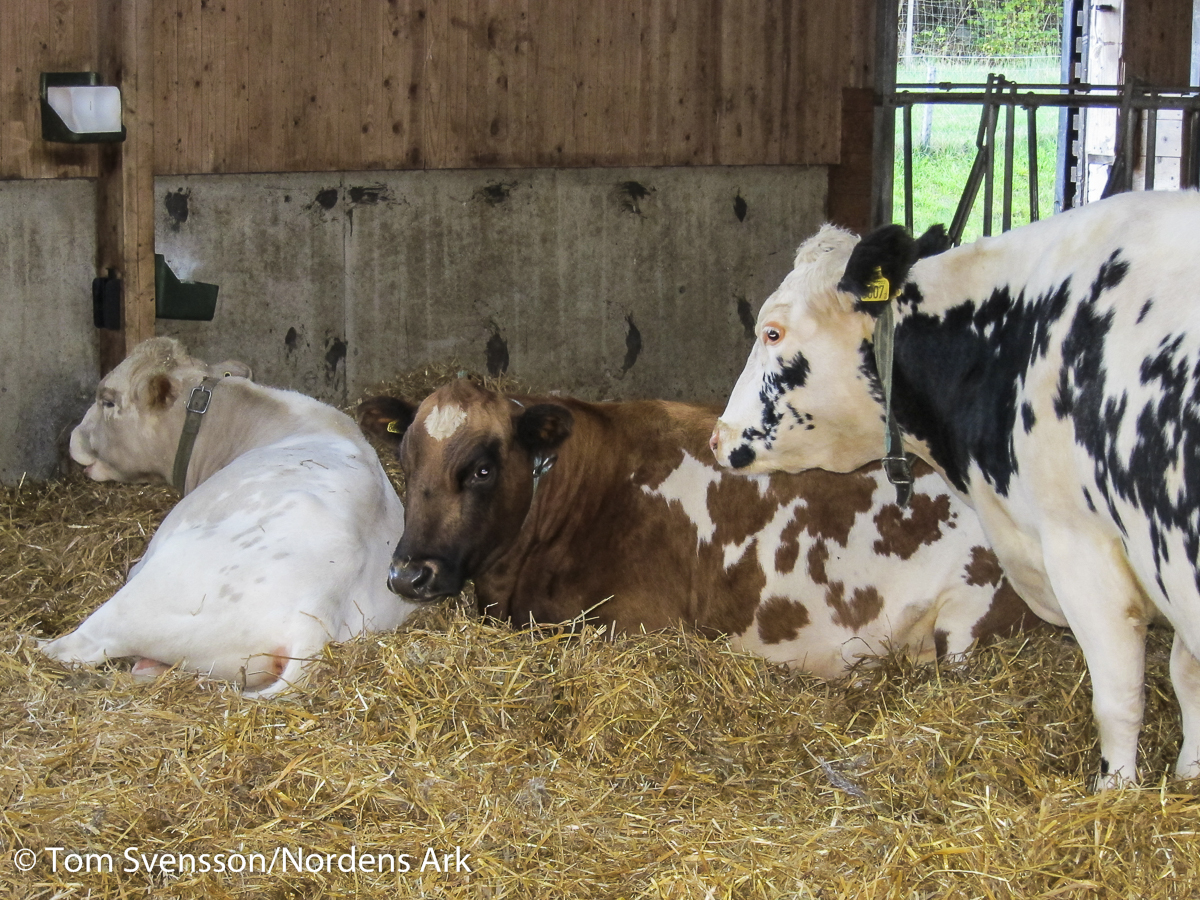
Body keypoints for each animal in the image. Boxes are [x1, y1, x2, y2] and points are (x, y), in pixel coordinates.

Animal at [711, 191, 1200, 785]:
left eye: (773, 332)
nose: (717, 436)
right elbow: (1188, 680)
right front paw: (1190, 777)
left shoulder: (1082, 548)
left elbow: (1120, 699)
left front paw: (1115, 789)